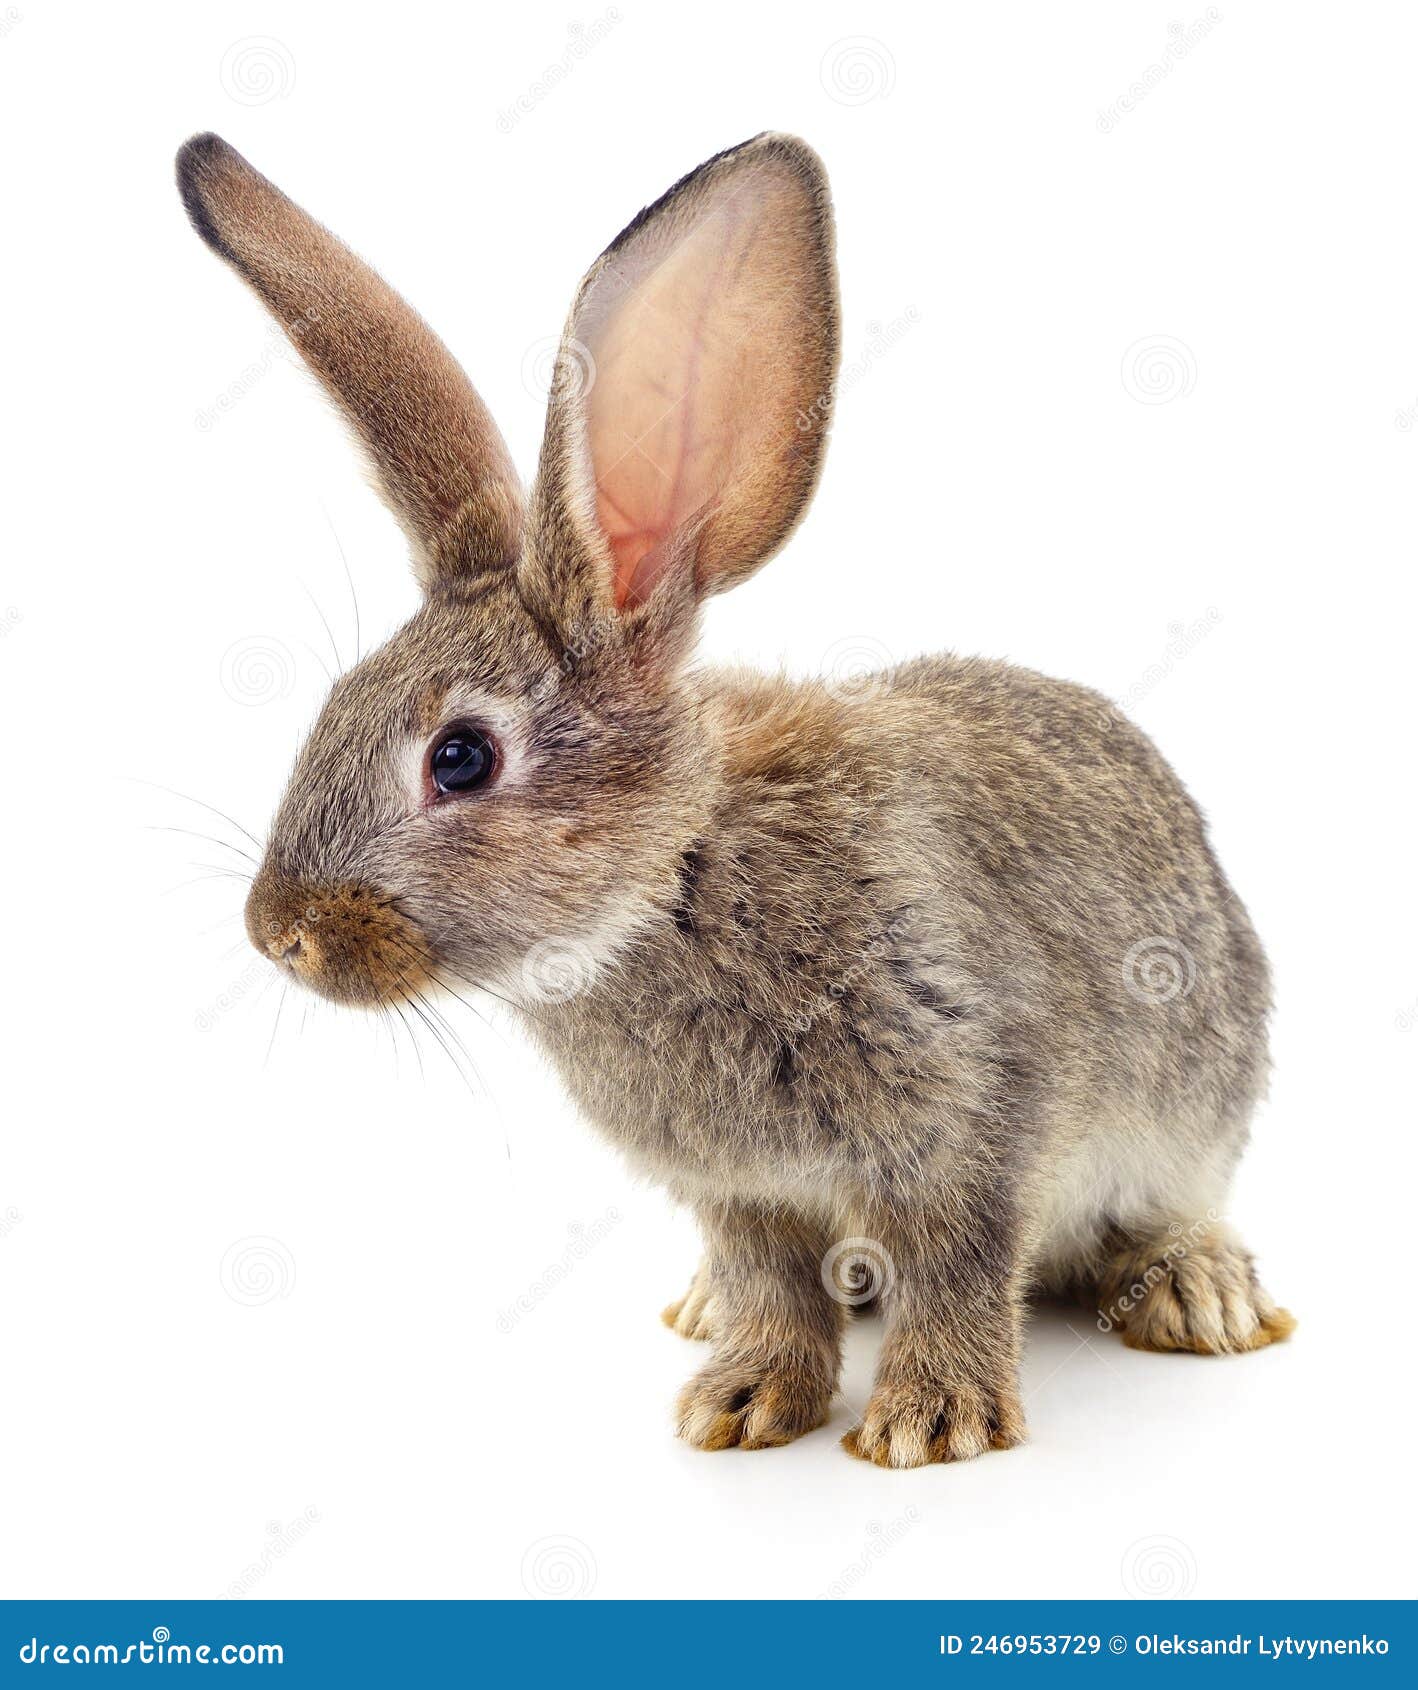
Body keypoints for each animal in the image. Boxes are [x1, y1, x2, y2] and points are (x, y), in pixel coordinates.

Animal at [176, 130, 1293, 1468]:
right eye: (332, 701)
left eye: (460, 758)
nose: (276, 932)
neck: (677, 875)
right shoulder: (742, 1192)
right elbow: (770, 1286)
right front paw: (744, 1398)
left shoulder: (971, 1126)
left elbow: (959, 1270)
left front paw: (930, 1423)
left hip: (1192, 1109)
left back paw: (1199, 1294)